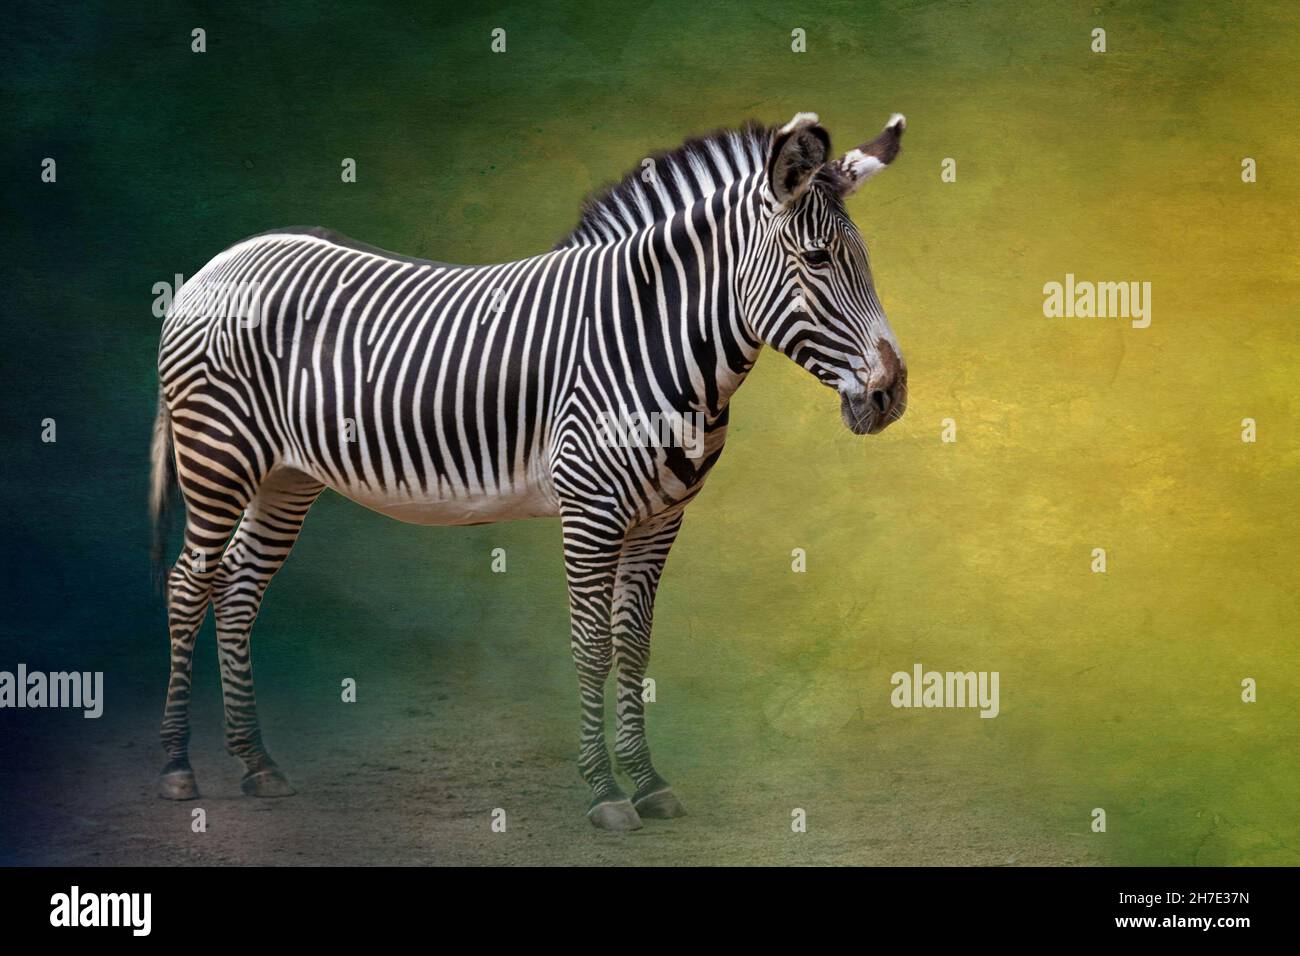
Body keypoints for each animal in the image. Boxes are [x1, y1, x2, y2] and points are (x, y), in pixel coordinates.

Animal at [150, 111, 909, 831]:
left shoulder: (661, 518)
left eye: (866, 262)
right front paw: (605, 793)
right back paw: (178, 768)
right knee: (189, 585)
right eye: (816, 258)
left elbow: (634, 646)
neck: (654, 340)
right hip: (216, 455)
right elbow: (592, 647)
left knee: (239, 589)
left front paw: (650, 783)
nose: (890, 395)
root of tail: (222, 260)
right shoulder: (590, 510)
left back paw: (257, 763)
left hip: (284, 476)